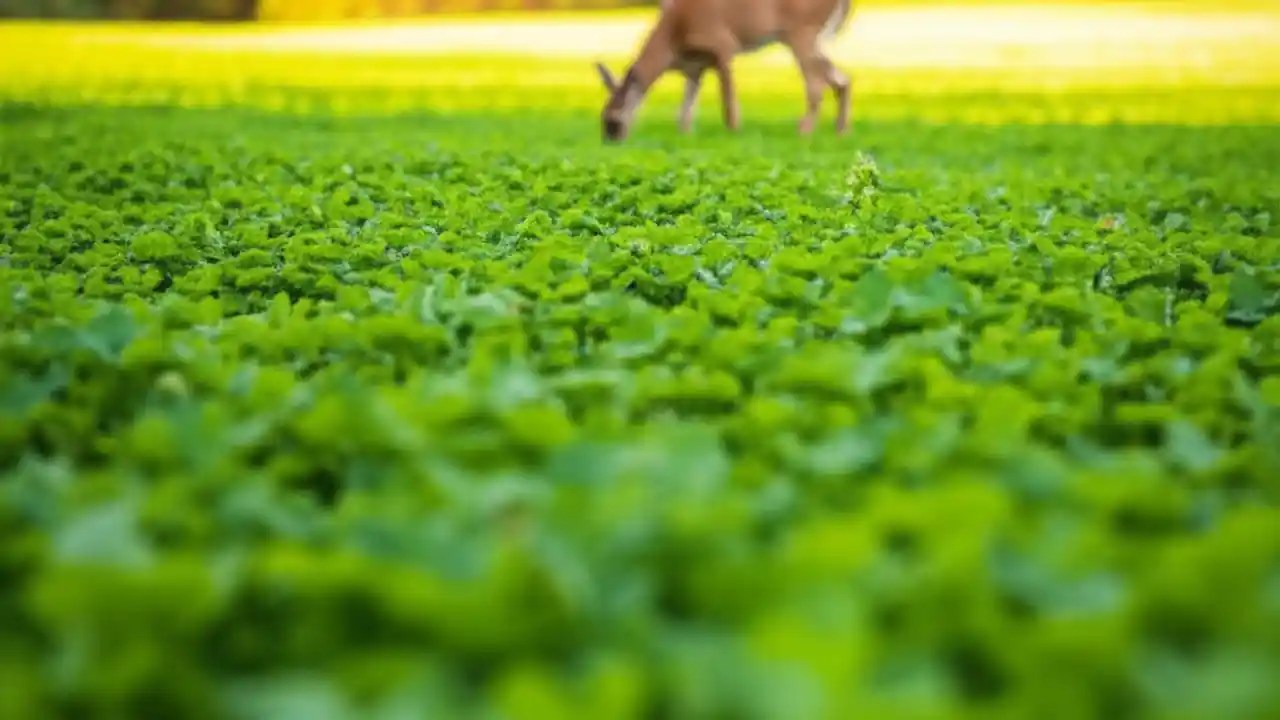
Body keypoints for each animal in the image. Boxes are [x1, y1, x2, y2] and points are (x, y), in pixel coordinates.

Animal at [594, 0, 855, 142]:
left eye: (613, 120)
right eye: (602, 117)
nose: (609, 142)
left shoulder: (723, 44)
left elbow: (727, 102)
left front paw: (734, 133)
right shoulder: (695, 68)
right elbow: (684, 112)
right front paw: (685, 137)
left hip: (802, 31)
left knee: (816, 82)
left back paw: (804, 131)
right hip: (807, 37)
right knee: (842, 79)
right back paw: (840, 131)